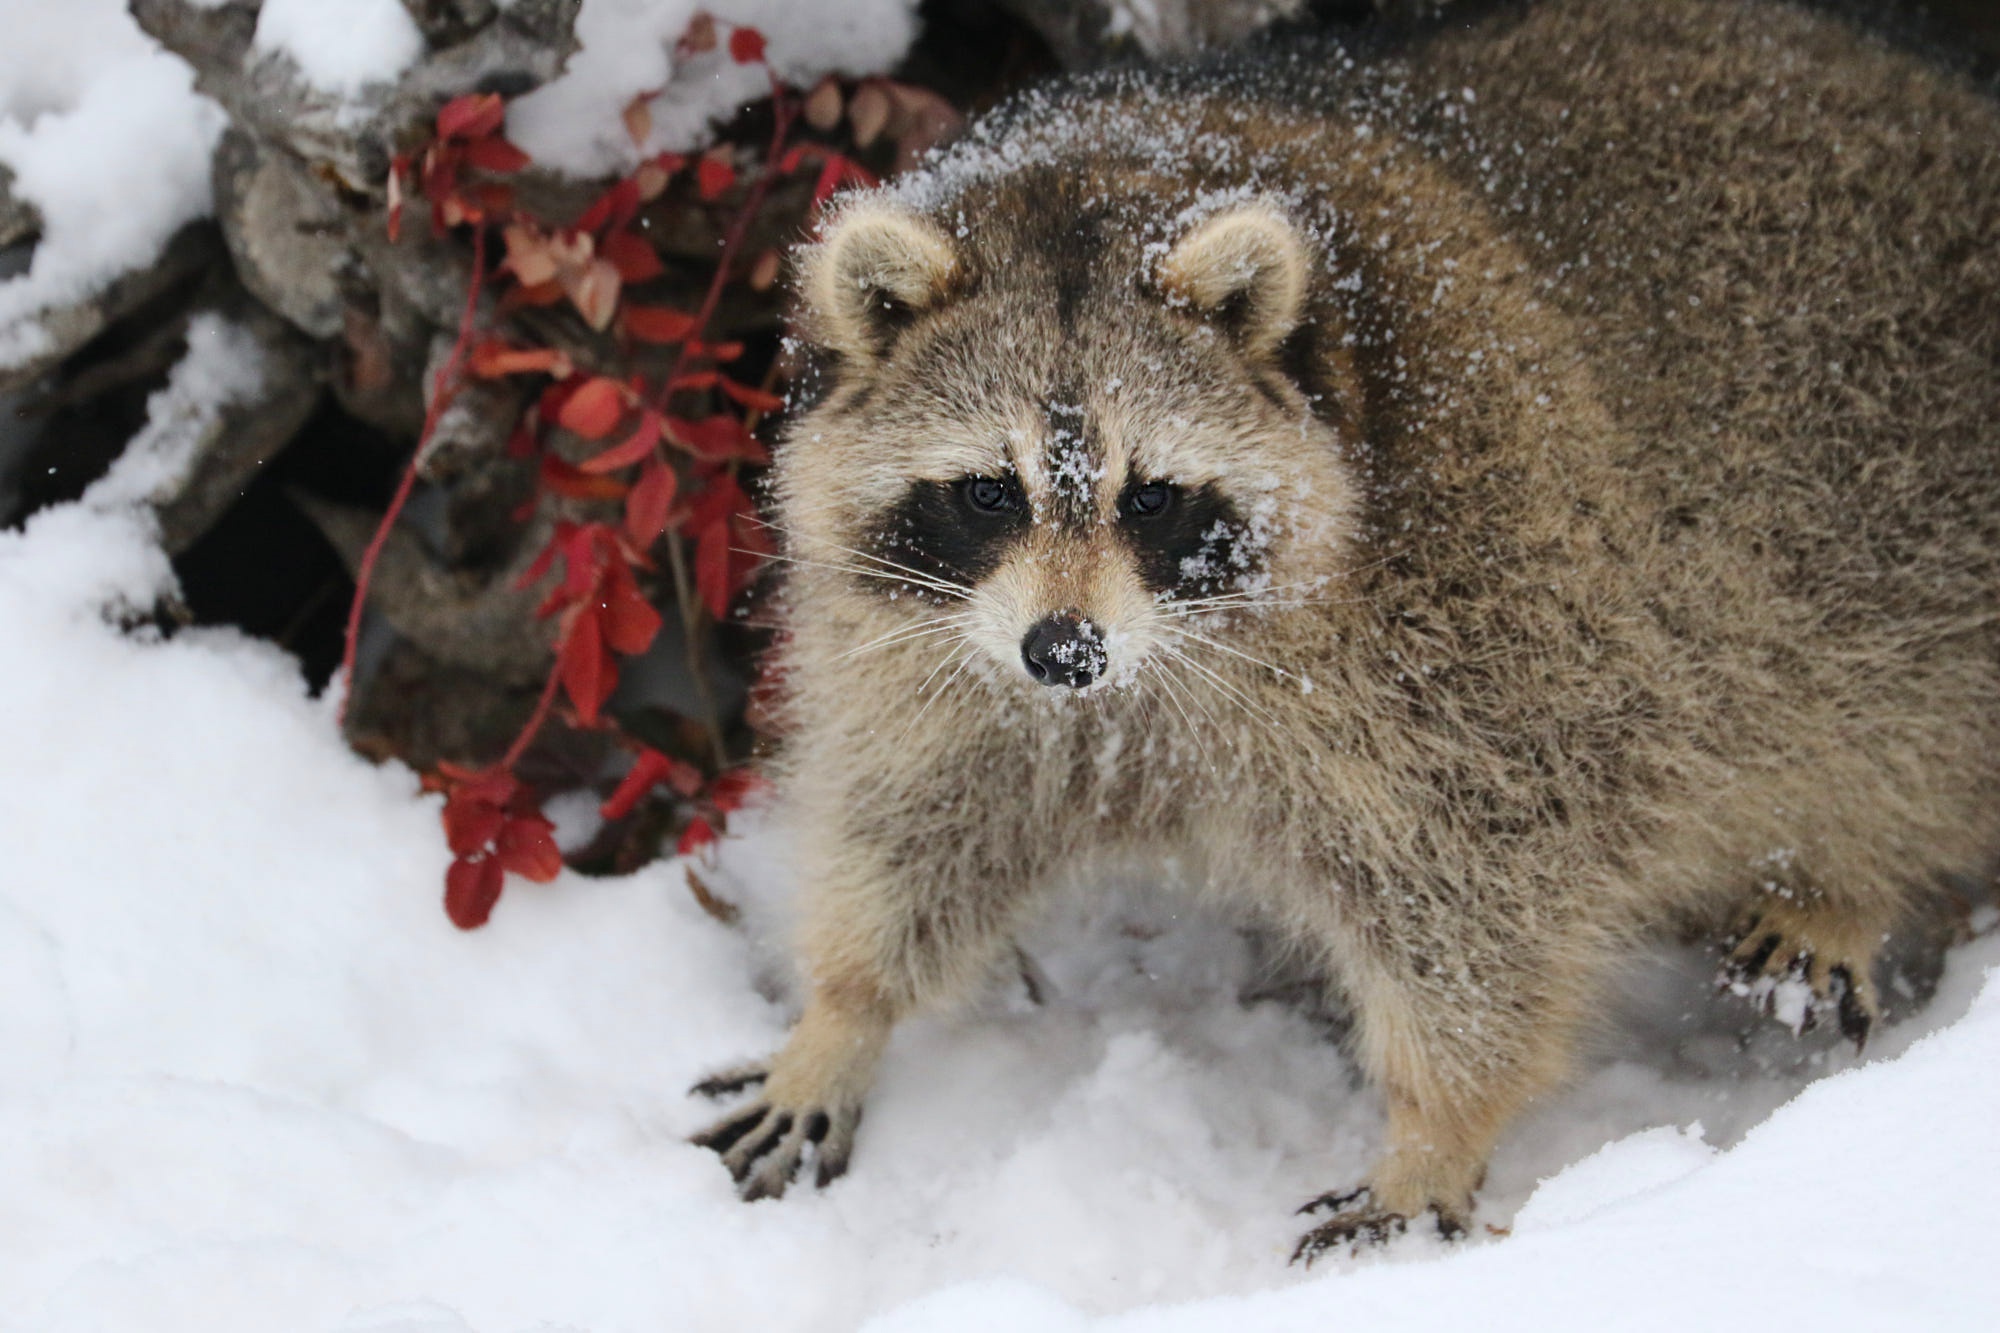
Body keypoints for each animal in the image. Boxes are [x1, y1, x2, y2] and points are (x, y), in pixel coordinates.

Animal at [694, 0, 2000, 1260]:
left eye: (1149, 497)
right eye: (986, 492)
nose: (1063, 652)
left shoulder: (1486, 614)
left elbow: (1482, 894)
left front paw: (1433, 1128)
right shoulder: (941, 653)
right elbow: (919, 819)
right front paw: (842, 1013)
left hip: (1898, 507)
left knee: (1876, 686)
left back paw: (1852, 874)